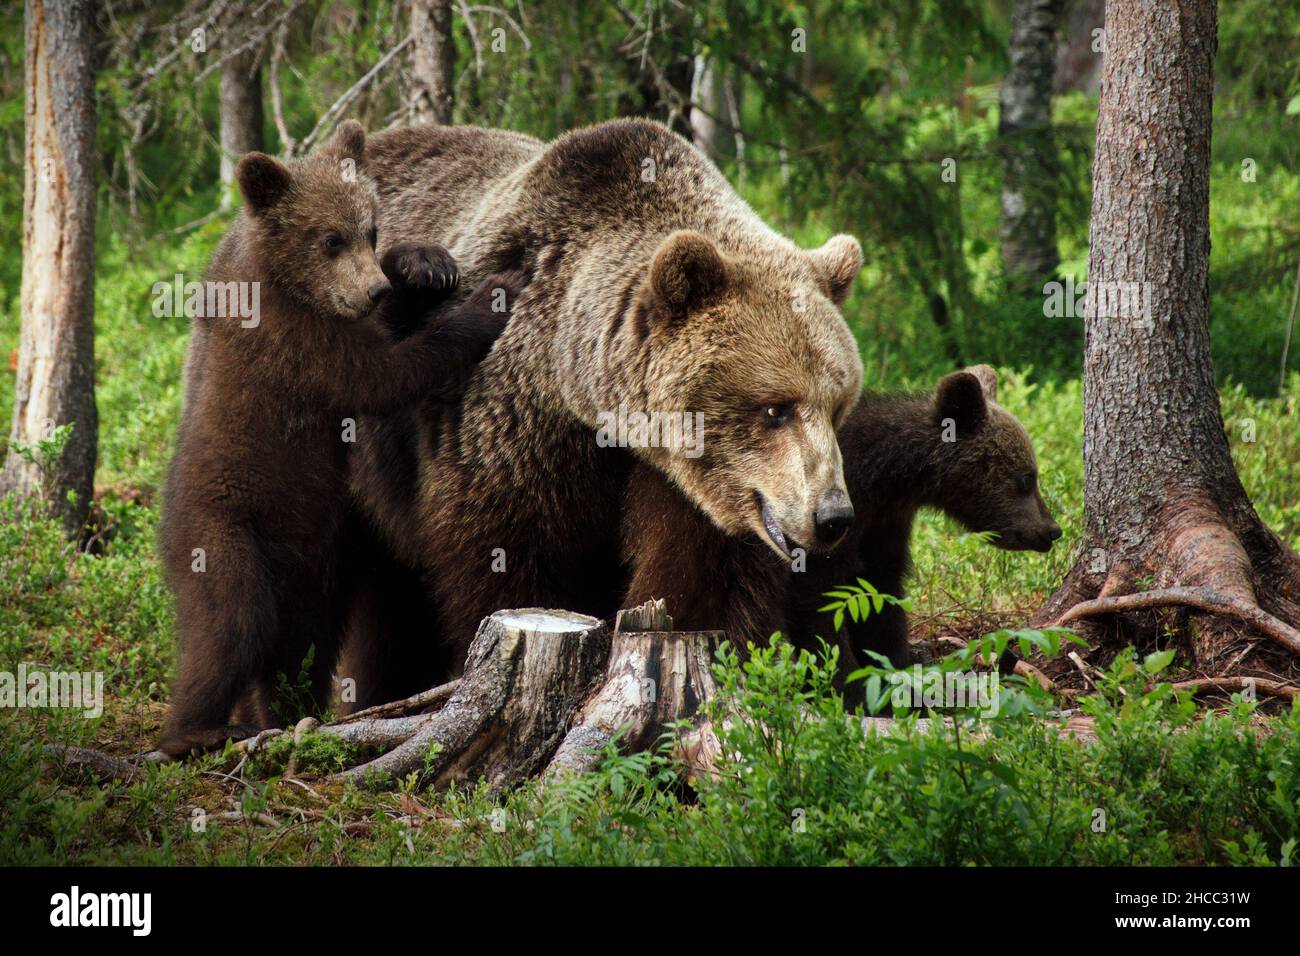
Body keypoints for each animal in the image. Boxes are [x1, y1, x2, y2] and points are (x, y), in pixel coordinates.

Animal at [157, 120, 525, 757]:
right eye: (329, 238)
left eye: (369, 229)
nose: (373, 289)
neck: (285, 279)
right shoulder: (298, 343)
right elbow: (387, 374)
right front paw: (488, 298)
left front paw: (425, 263)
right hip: (225, 529)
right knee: (230, 625)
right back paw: (199, 728)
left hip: (310, 556)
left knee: (299, 643)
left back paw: (281, 716)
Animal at [336, 118, 867, 710]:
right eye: (775, 408)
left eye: (837, 406)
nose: (832, 516)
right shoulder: (514, 422)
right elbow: (508, 559)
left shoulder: (682, 485)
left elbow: (696, 580)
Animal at [620, 365, 1062, 679]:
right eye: (1026, 478)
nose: (1051, 530)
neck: (886, 478)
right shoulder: (825, 532)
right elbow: (823, 607)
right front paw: (849, 684)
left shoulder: (884, 526)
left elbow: (880, 594)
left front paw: (895, 667)